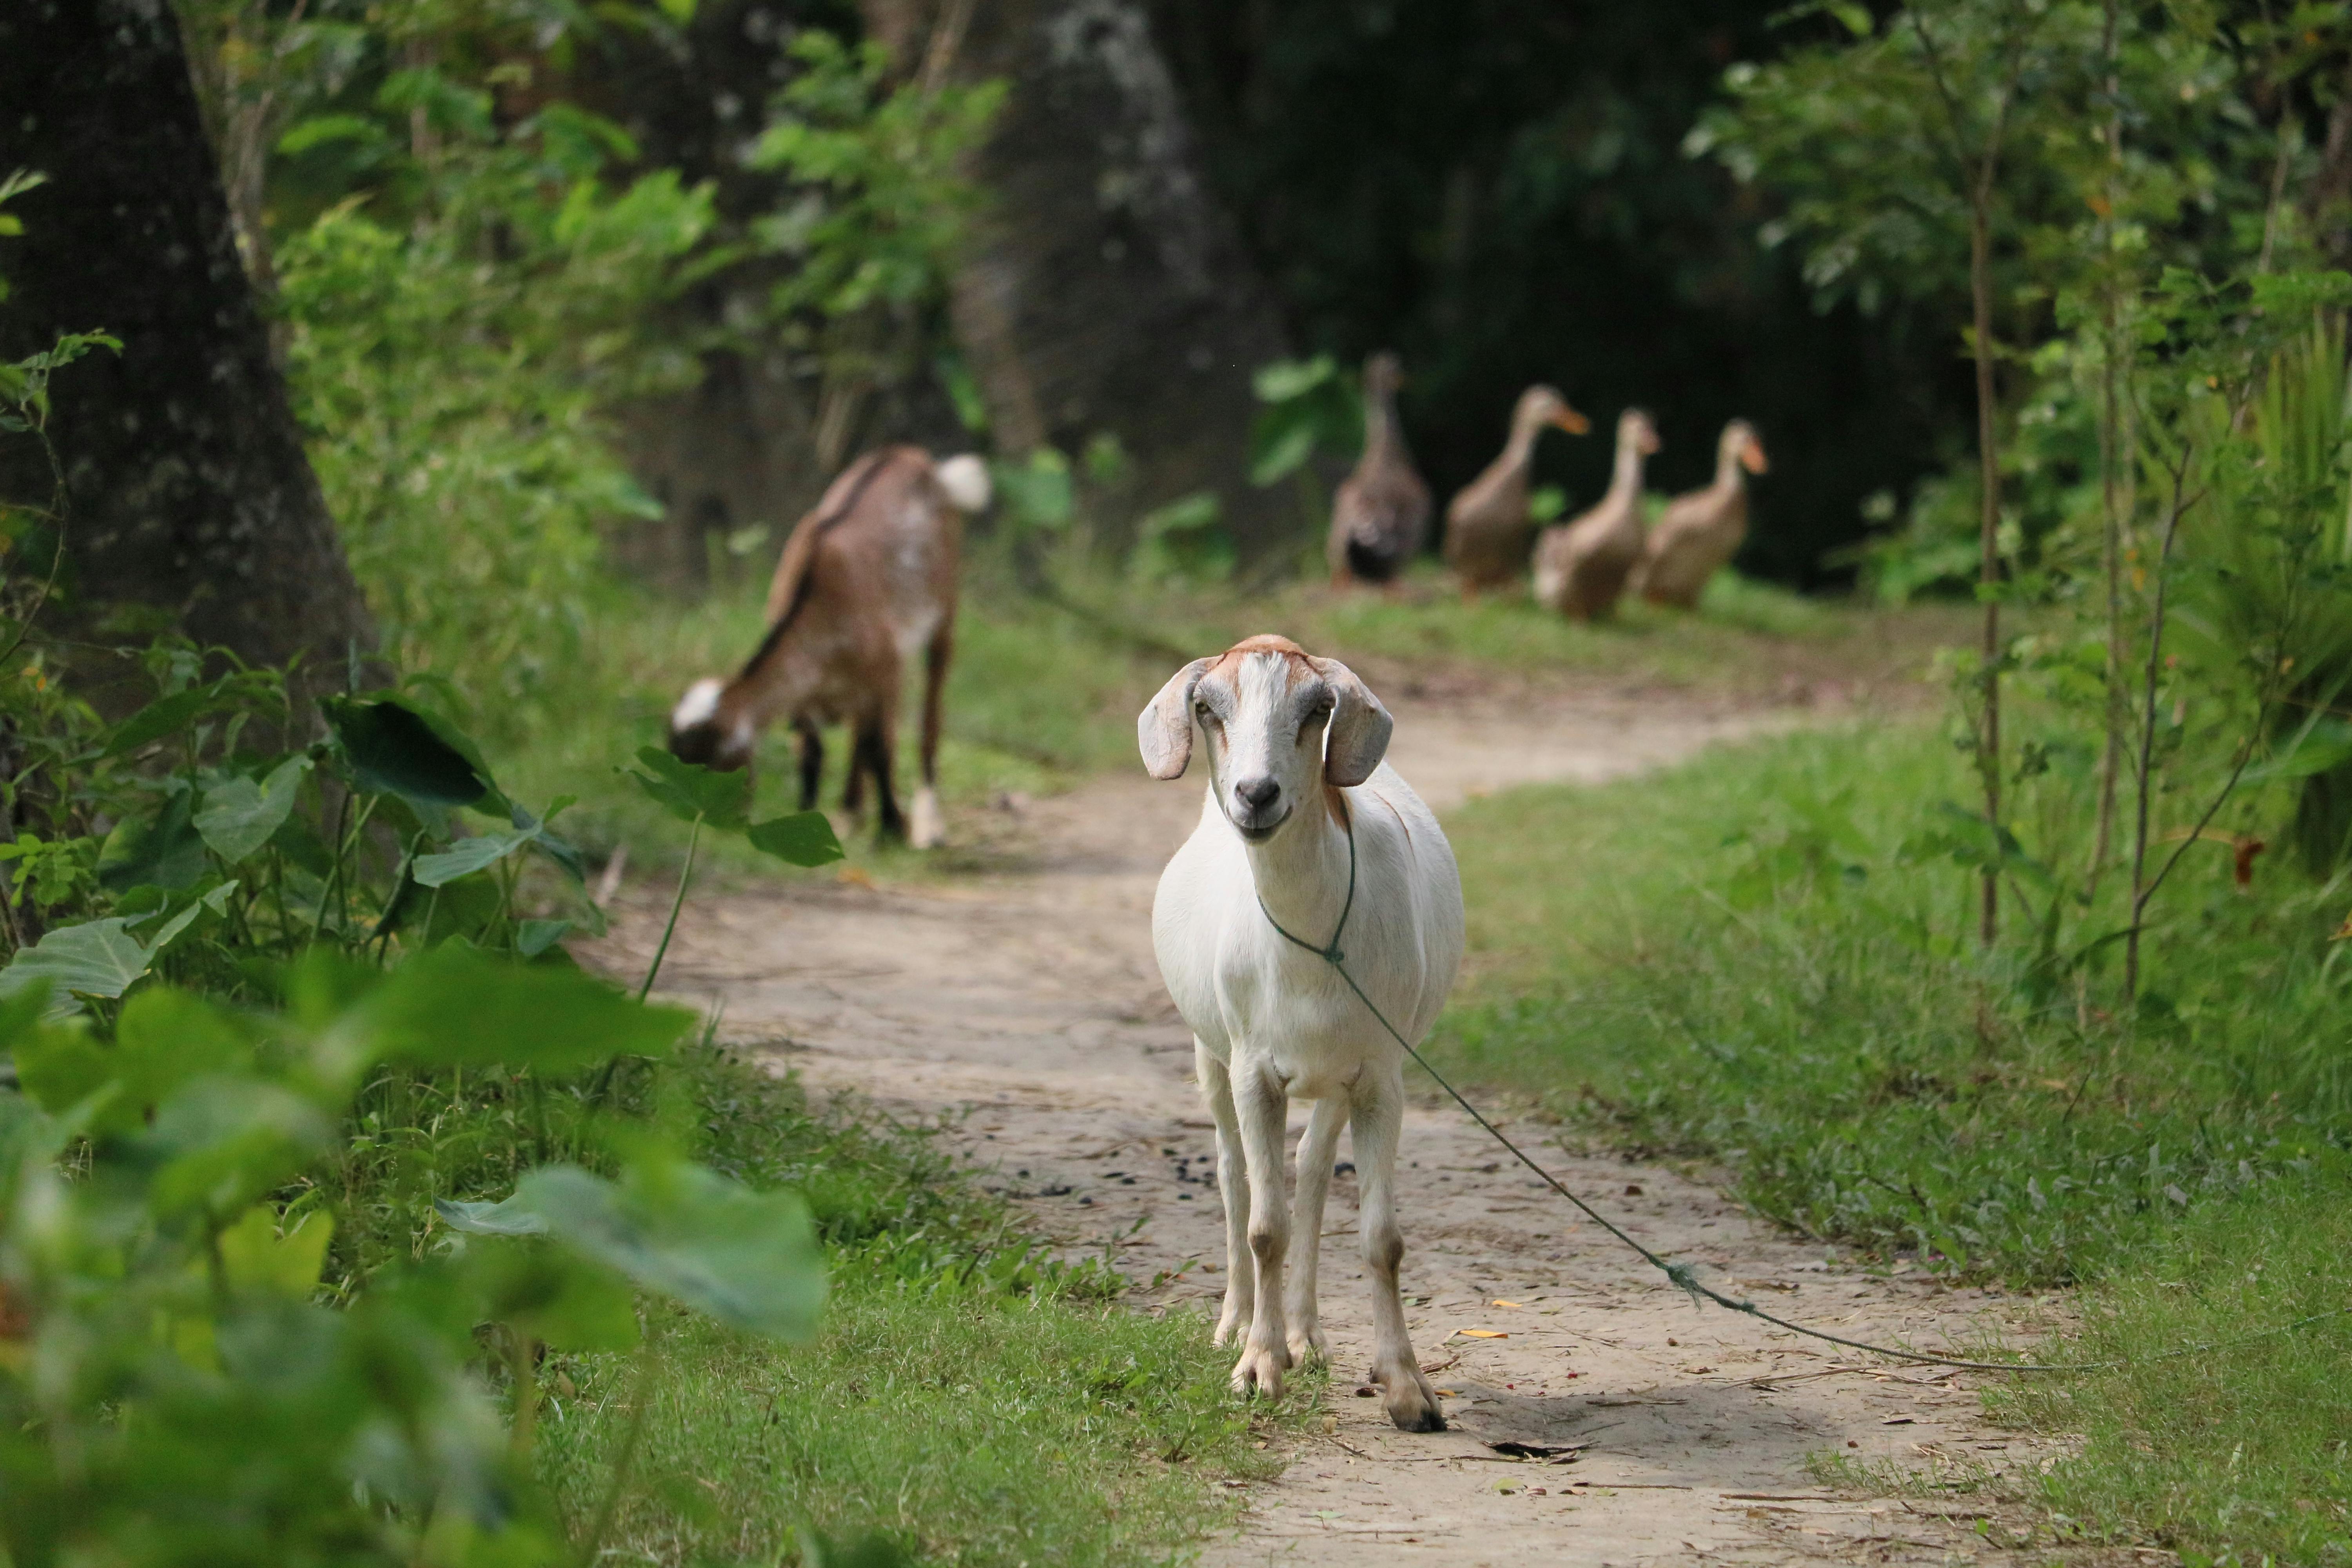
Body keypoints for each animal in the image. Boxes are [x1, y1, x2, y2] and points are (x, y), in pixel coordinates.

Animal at [669, 446, 989, 847]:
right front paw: (806, 820)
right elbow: (812, 751)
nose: (694, 819)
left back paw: (928, 824)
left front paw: (892, 827)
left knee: (929, 712)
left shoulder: (886, 671)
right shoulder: (809, 690)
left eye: (710, 767)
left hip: (945, 608)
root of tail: (911, 457)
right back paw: (851, 813)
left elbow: (879, 748)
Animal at [1140, 634, 1463, 1431]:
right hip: (1211, 1056)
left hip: (1335, 1079)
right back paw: (1239, 1325)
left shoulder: (1380, 1075)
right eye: (1207, 708)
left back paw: (1307, 1336)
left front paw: (1407, 1388)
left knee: (1314, 1172)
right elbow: (1265, 1227)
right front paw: (1257, 1367)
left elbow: (1381, 1238)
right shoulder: (1254, 1068)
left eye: (1318, 708)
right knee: (1233, 1176)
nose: (1255, 795)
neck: (1314, 941)